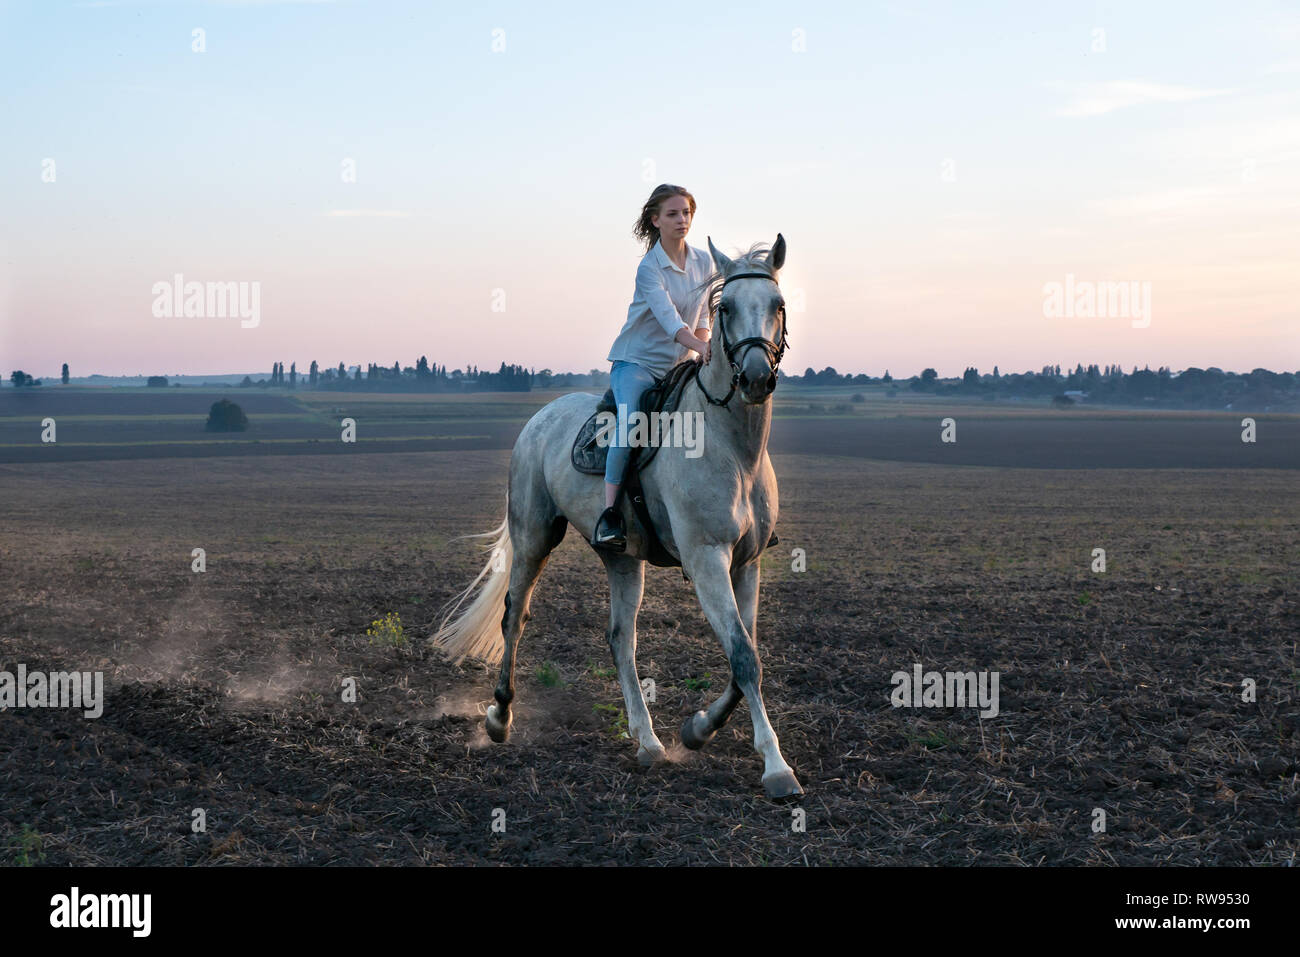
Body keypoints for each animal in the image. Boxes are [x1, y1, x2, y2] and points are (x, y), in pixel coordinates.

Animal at [431, 234, 802, 799]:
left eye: (778, 306)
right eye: (726, 309)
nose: (757, 378)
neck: (734, 449)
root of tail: (541, 417)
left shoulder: (746, 563)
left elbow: (745, 658)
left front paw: (697, 729)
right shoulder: (707, 561)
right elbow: (743, 656)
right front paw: (776, 767)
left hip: (624, 559)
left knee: (620, 639)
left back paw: (647, 741)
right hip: (534, 535)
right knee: (514, 614)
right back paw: (499, 718)